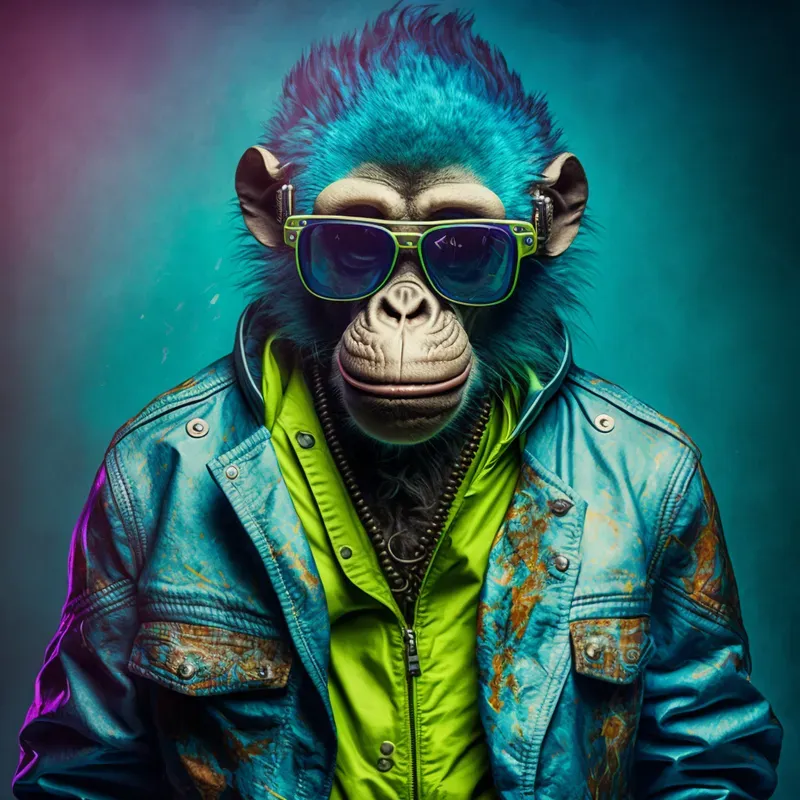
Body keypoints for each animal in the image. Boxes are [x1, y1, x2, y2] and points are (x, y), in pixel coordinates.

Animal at [14, 5, 782, 800]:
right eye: (353, 247)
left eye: (464, 249)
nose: (405, 306)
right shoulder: (114, 487)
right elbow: (93, 751)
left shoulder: (686, 483)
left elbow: (706, 727)